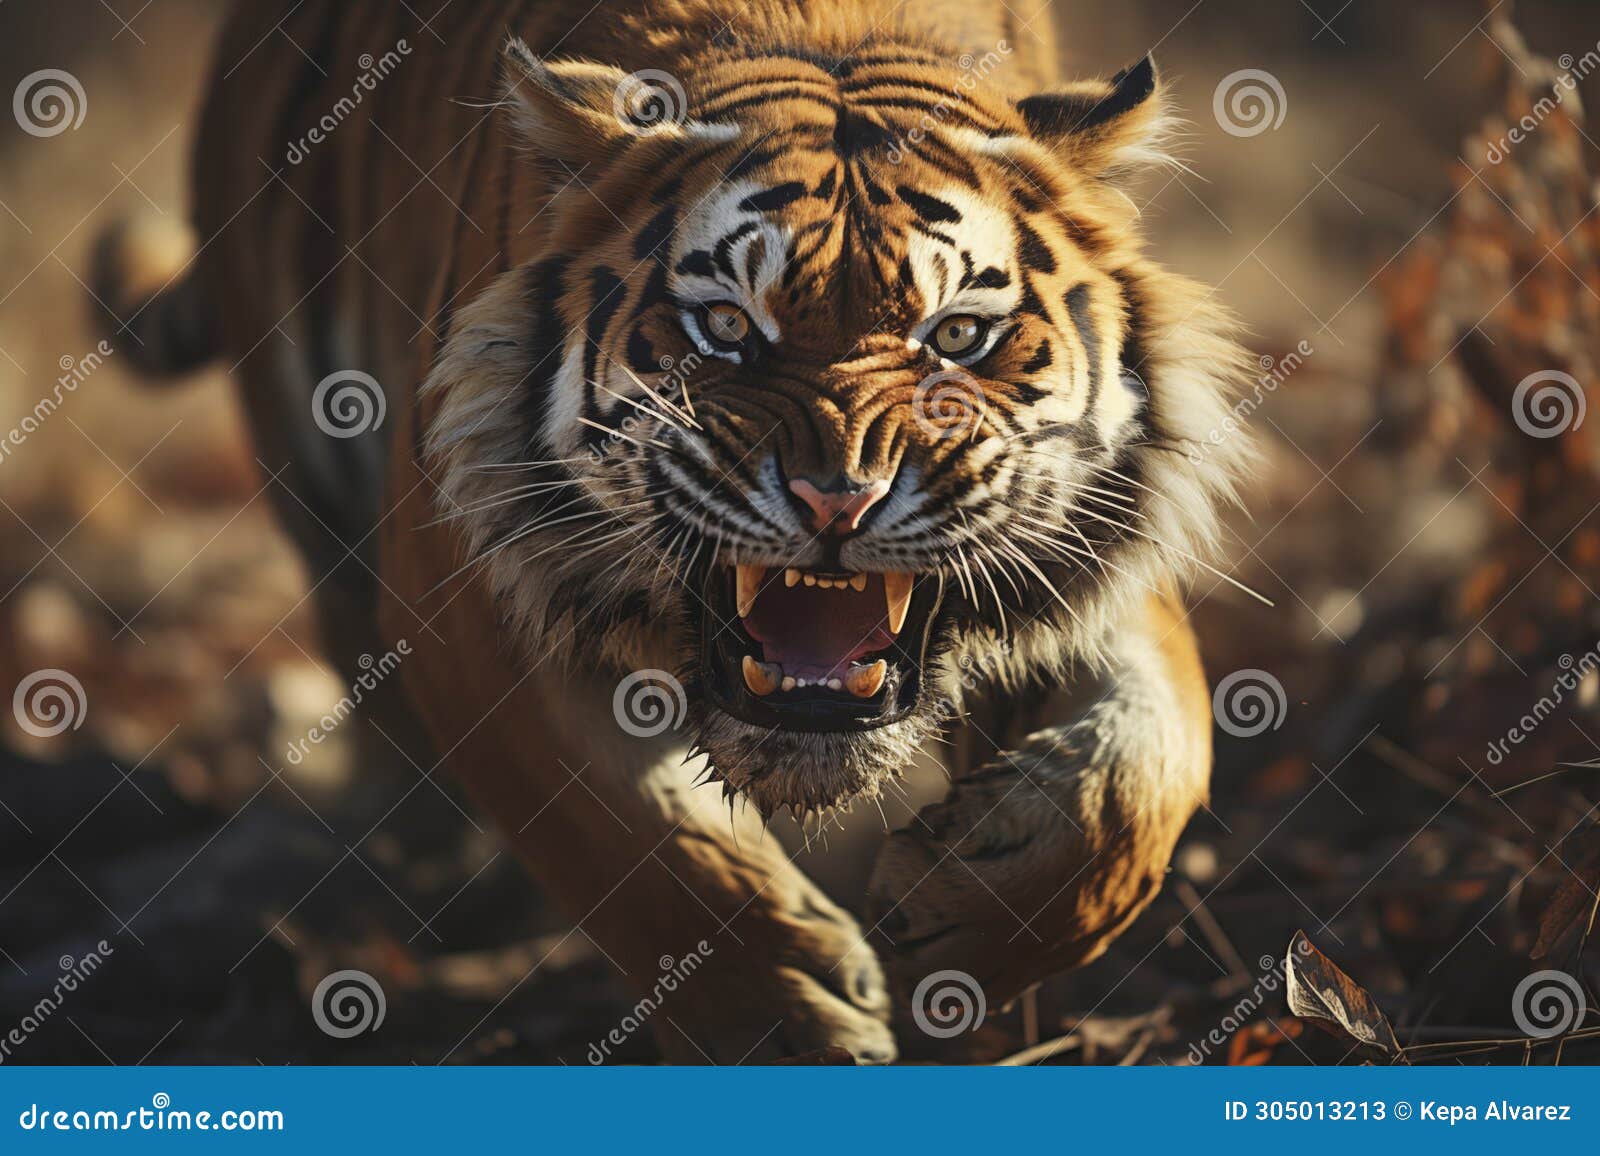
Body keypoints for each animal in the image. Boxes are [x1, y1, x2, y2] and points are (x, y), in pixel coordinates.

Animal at [94, 0, 1254, 1063]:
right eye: (727, 327)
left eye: (958, 335)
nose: (840, 498)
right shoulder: (464, 585)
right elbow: (629, 847)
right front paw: (796, 1028)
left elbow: (1149, 764)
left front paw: (965, 923)